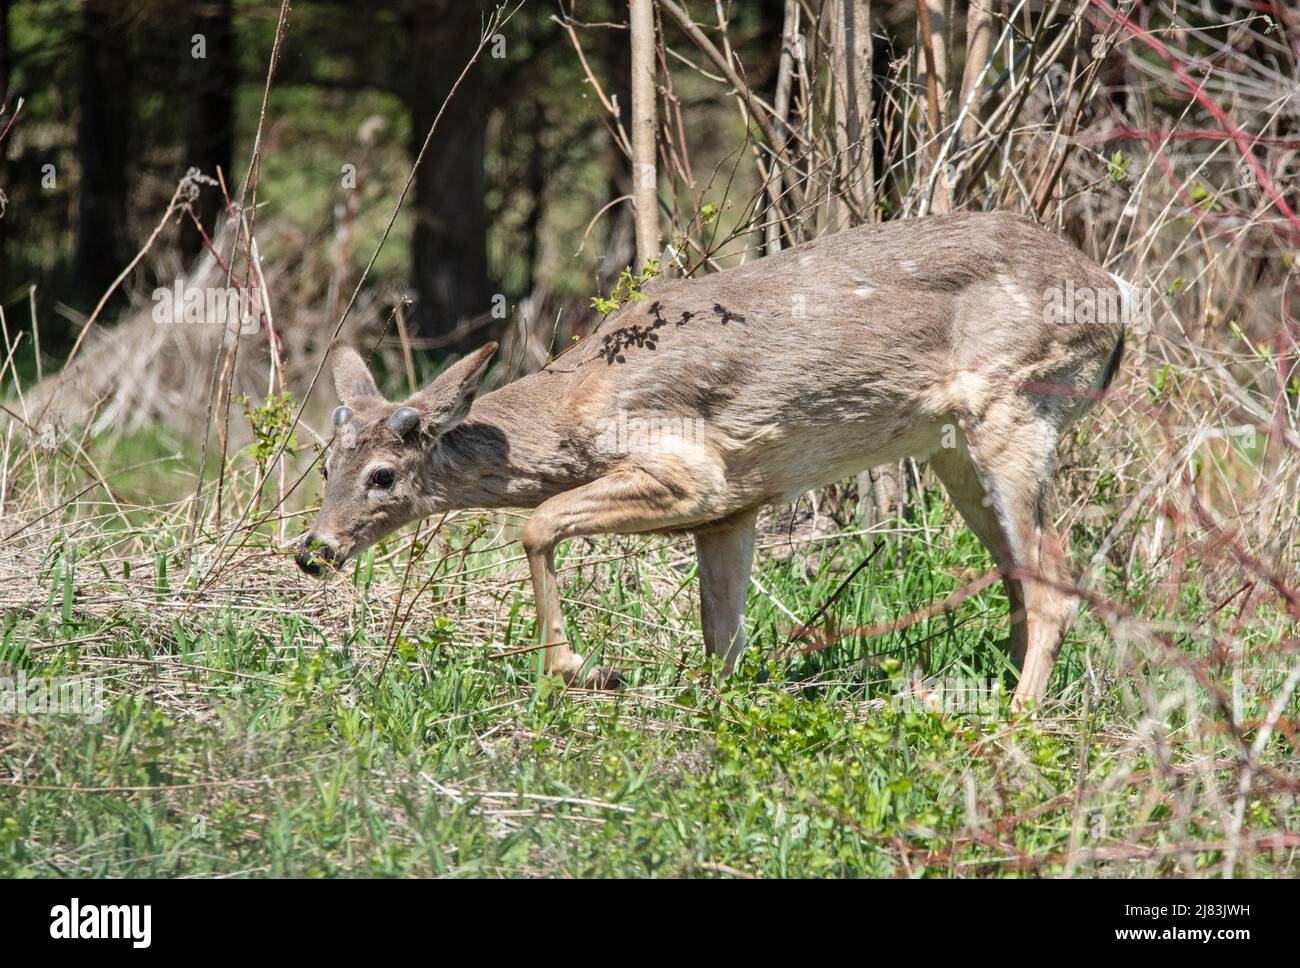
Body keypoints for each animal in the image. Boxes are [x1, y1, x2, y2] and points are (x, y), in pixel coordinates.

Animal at [297, 211, 1128, 712]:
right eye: (325, 467)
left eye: (382, 476)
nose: (314, 549)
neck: (576, 408)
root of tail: (1116, 294)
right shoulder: (734, 507)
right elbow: (721, 631)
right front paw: (716, 707)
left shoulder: (691, 472)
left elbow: (539, 523)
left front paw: (585, 670)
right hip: (955, 449)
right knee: (1020, 572)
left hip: (1012, 407)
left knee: (1056, 576)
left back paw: (1013, 719)